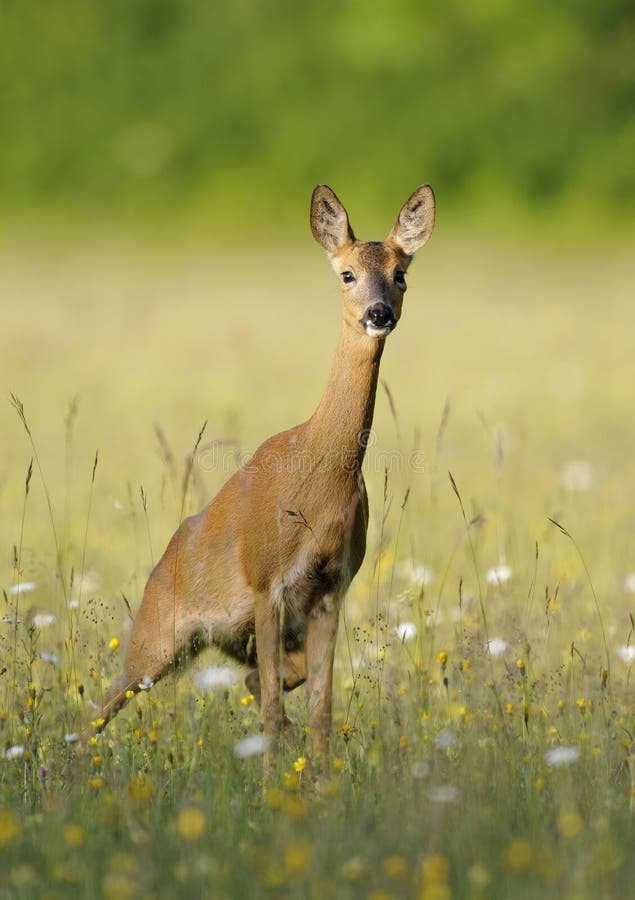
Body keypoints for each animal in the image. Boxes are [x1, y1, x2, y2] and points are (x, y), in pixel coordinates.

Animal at [92, 184, 435, 767]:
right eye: (347, 273)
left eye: (401, 273)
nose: (379, 312)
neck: (318, 481)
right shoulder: (265, 583)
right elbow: (275, 712)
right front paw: (276, 784)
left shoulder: (331, 588)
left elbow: (319, 712)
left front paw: (316, 777)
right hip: (155, 638)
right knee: (98, 705)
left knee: (254, 682)